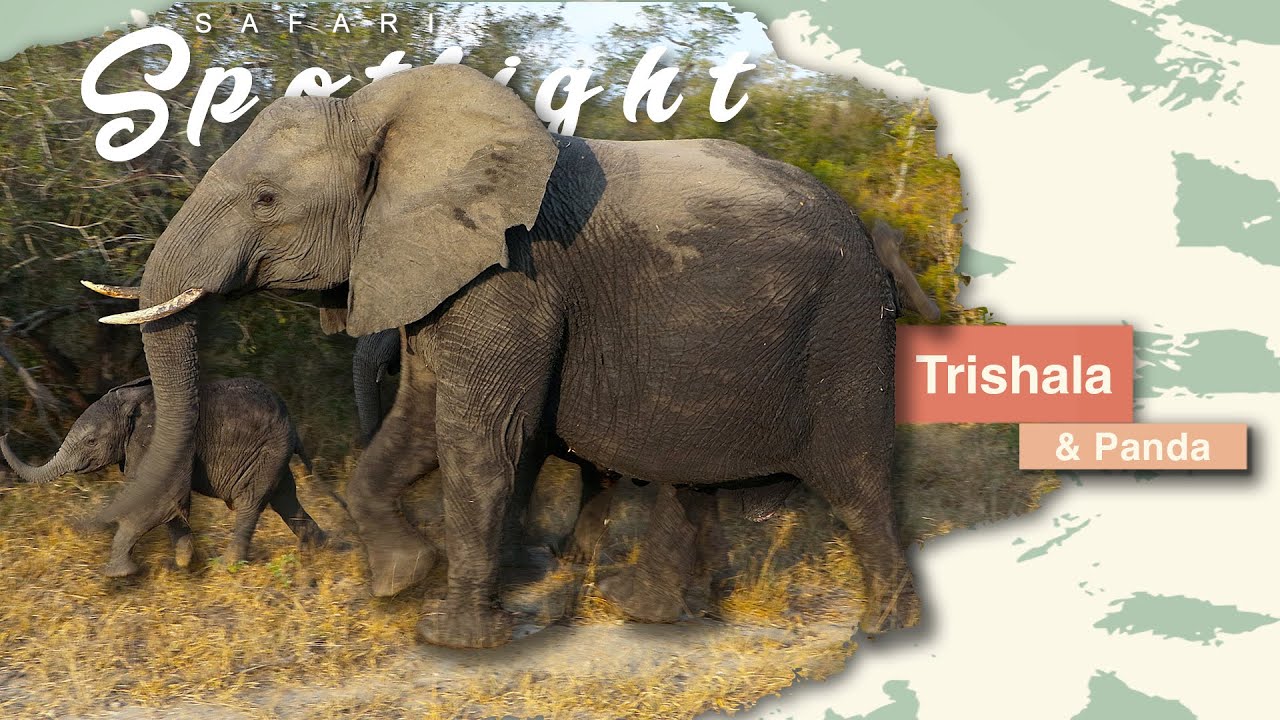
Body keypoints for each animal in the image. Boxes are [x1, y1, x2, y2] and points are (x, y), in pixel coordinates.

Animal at [0, 377, 330, 576]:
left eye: (91, 441)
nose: (5, 432)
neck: (133, 401)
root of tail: (292, 424)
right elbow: (171, 505)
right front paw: (183, 564)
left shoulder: (159, 442)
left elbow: (161, 498)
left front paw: (117, 574)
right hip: (274, 457)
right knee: (284, 499)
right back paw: (322, 548)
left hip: (266, 453)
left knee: (251, 502)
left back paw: (226, 567)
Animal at [85, 63, 920, 648]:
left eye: (265, 200)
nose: (114, 547)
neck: (381, 116)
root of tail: (872, 233)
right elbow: (415, 426)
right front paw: (397, 582)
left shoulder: (510, 275)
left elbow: (477, 438)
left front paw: (453, 638)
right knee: (693, 476)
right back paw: (655, 611)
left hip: (843, 330)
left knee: (857, 481)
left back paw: (881, 631)